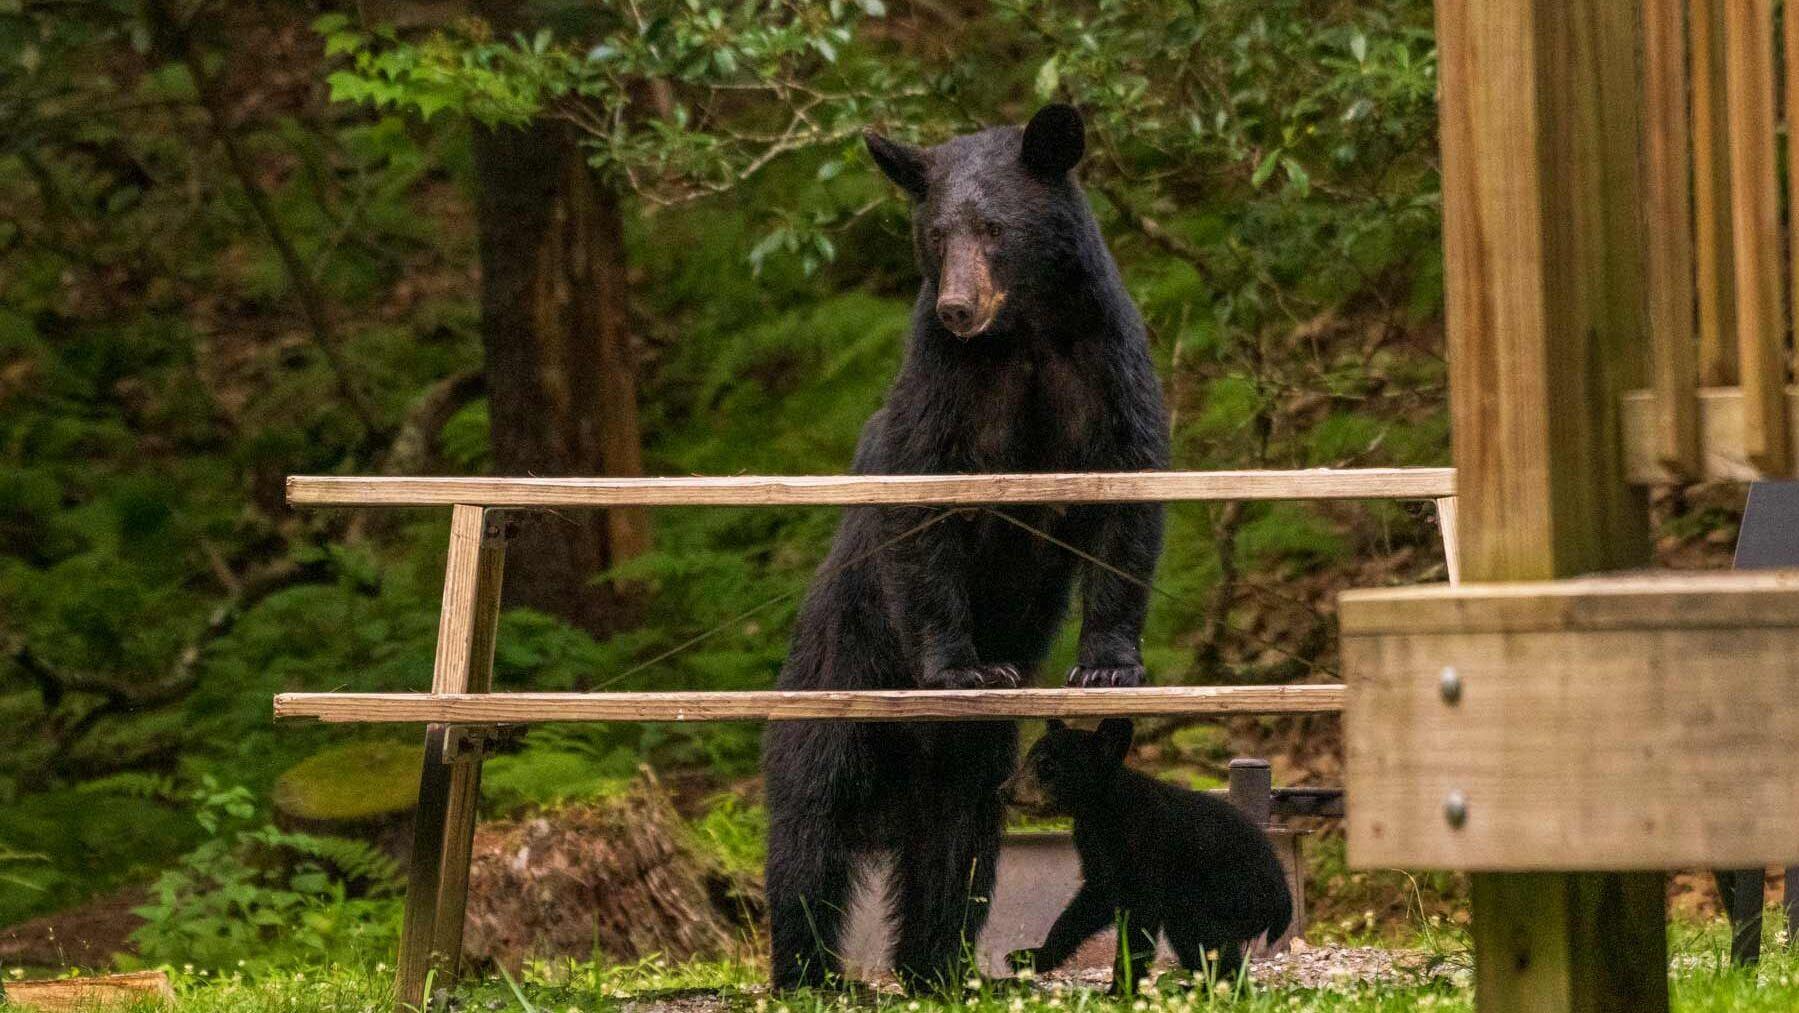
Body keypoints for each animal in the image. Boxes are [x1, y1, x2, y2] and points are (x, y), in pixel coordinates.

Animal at [761, 103, 1169, 993]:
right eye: (934, 231)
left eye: (993, 227)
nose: (955, 305)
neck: (1024, 334)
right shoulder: (946, 391)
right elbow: (926, 521)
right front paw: (964, 665)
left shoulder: (1105, 370)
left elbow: (1124, 508)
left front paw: (1107, 663)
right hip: (836, 685)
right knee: (810, 834)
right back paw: (812, 968)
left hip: (973, 763)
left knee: (957, 852)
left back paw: (937, 962)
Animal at [1003, 719, 1292, 992]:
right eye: (1029, 758)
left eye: (1047, 765)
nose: (1004, 790)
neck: (1102, 811)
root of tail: (1283, 901)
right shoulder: (1095, 848)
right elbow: (1088, 905)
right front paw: (1029, 956)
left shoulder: (1147, 846)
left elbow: (1139, 920)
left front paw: (1120, 990)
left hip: (1230, 894)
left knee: (1202, 935)